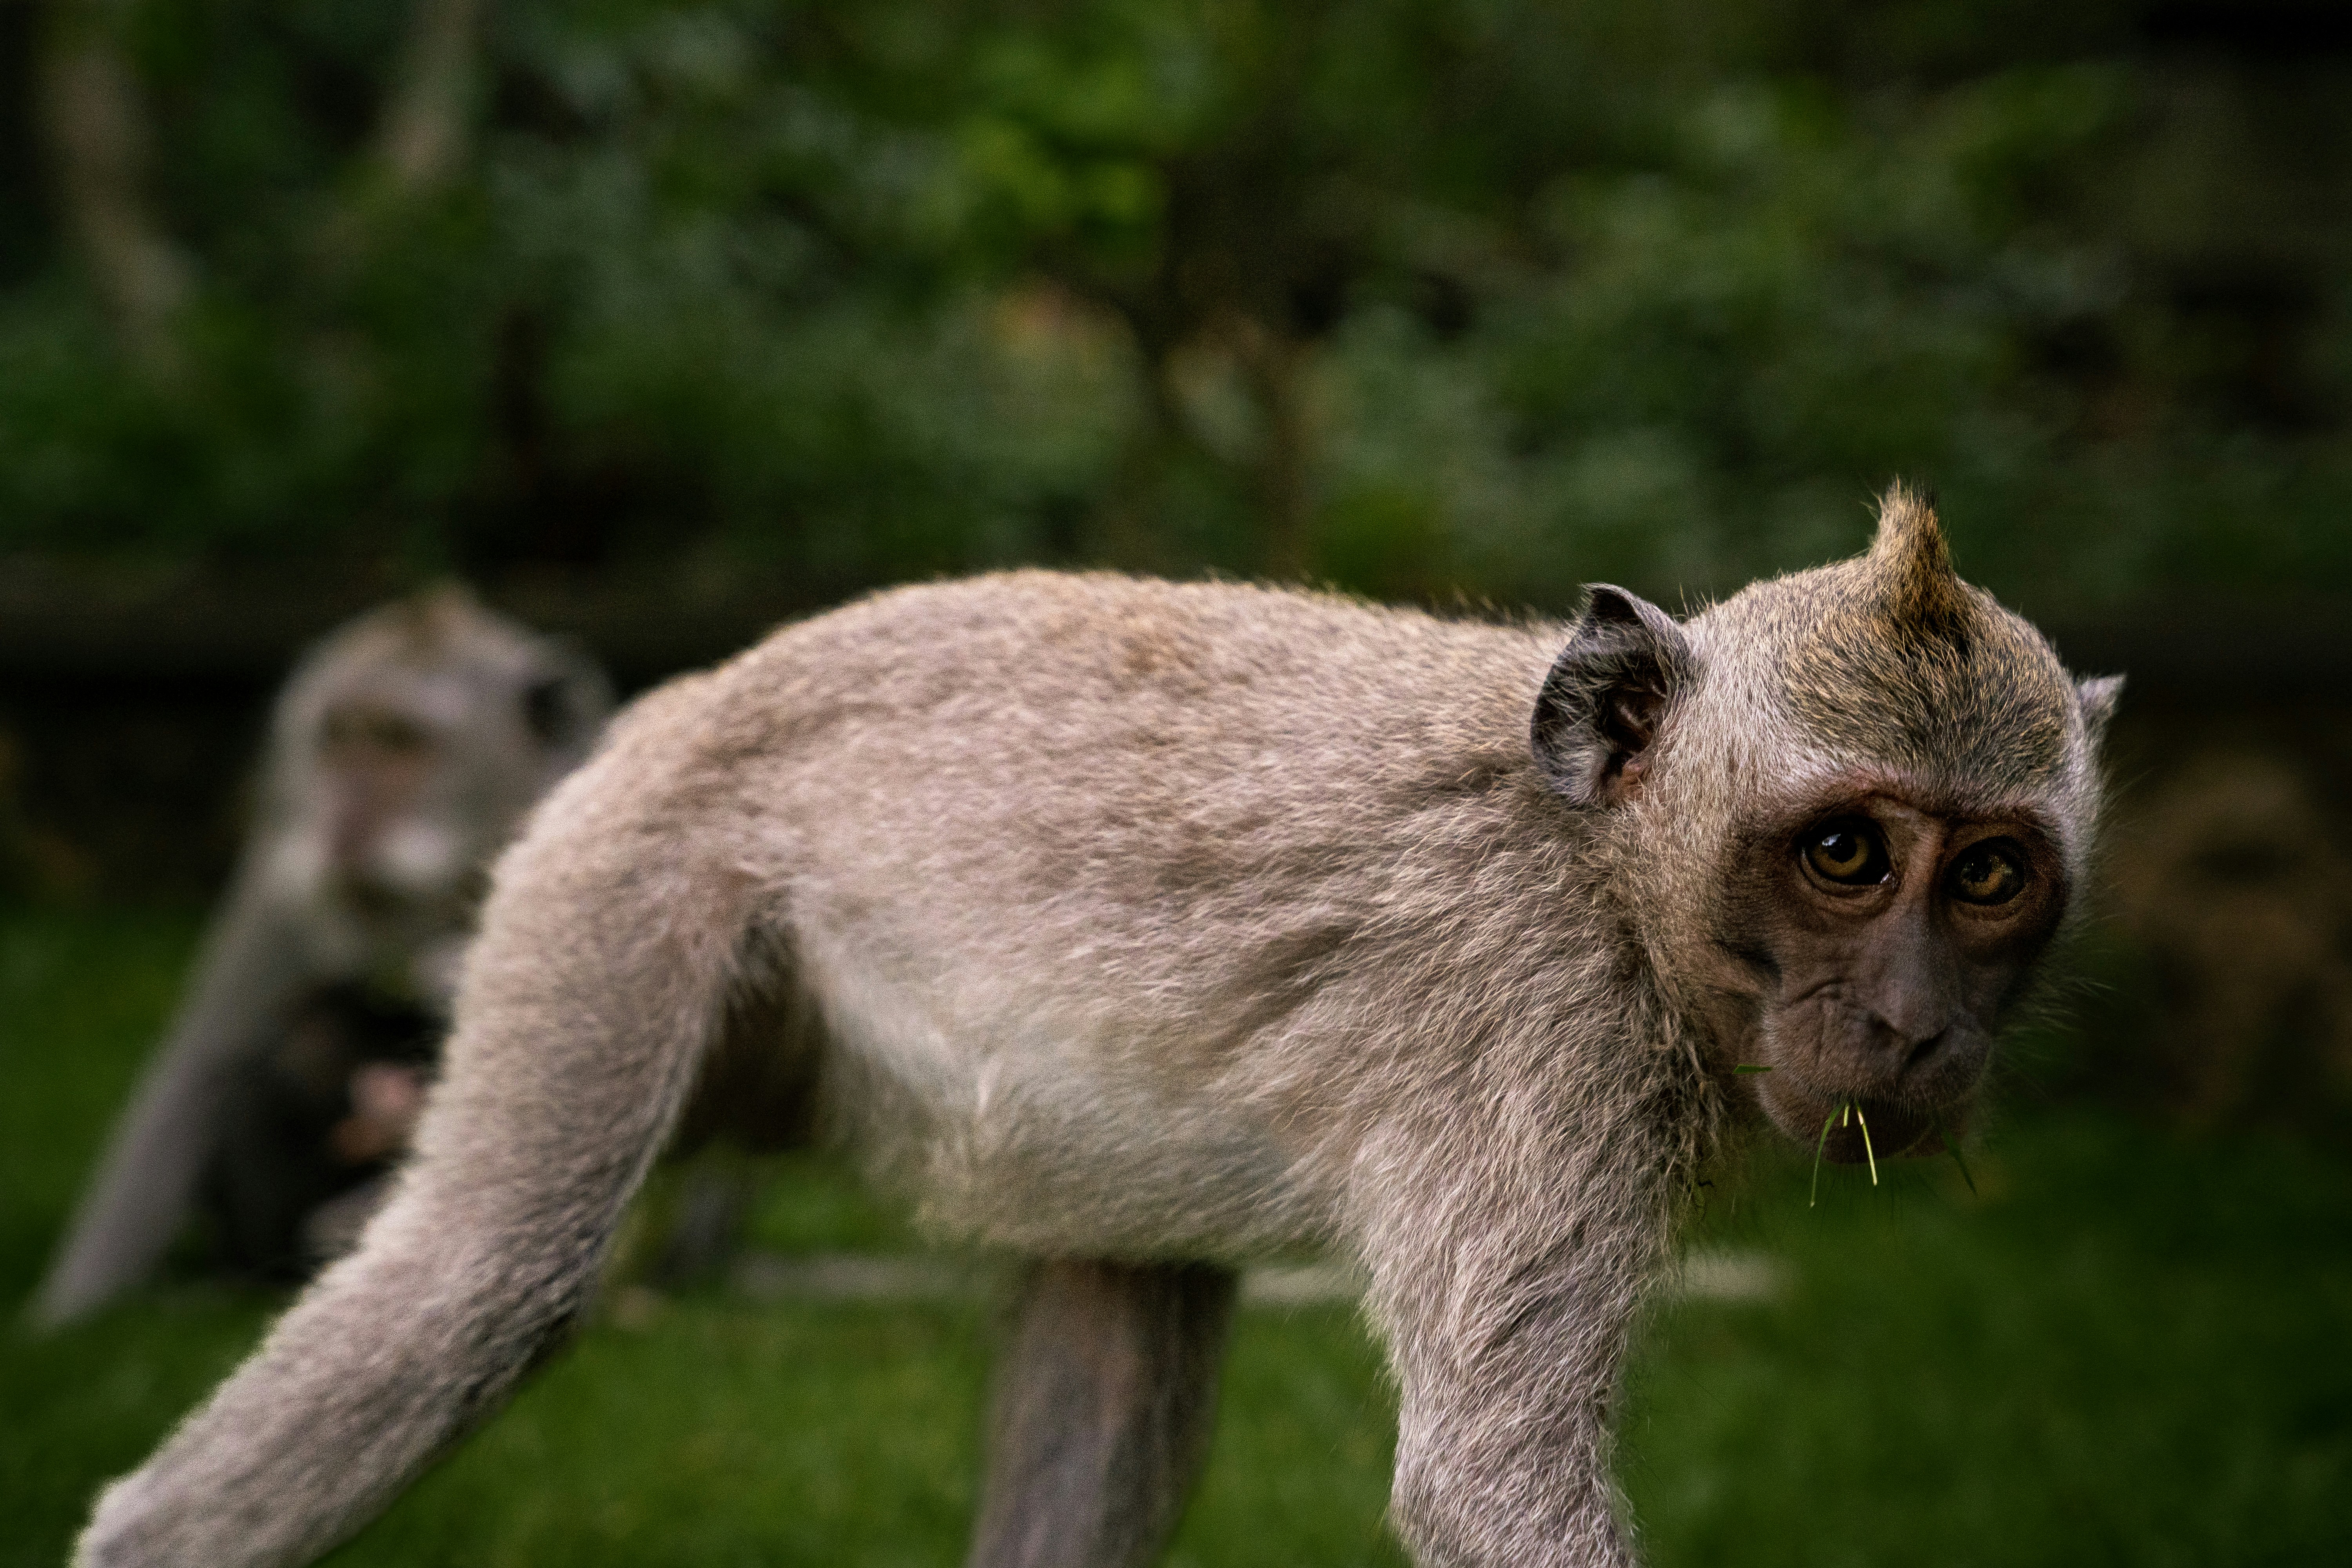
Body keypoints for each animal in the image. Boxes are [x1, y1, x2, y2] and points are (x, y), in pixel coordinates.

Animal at [30, 587, 611, 1326]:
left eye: (400, 741)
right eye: (339, 738)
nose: (346, 814)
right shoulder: (278, 855)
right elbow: (204, 1061)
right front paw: (67, 1317)